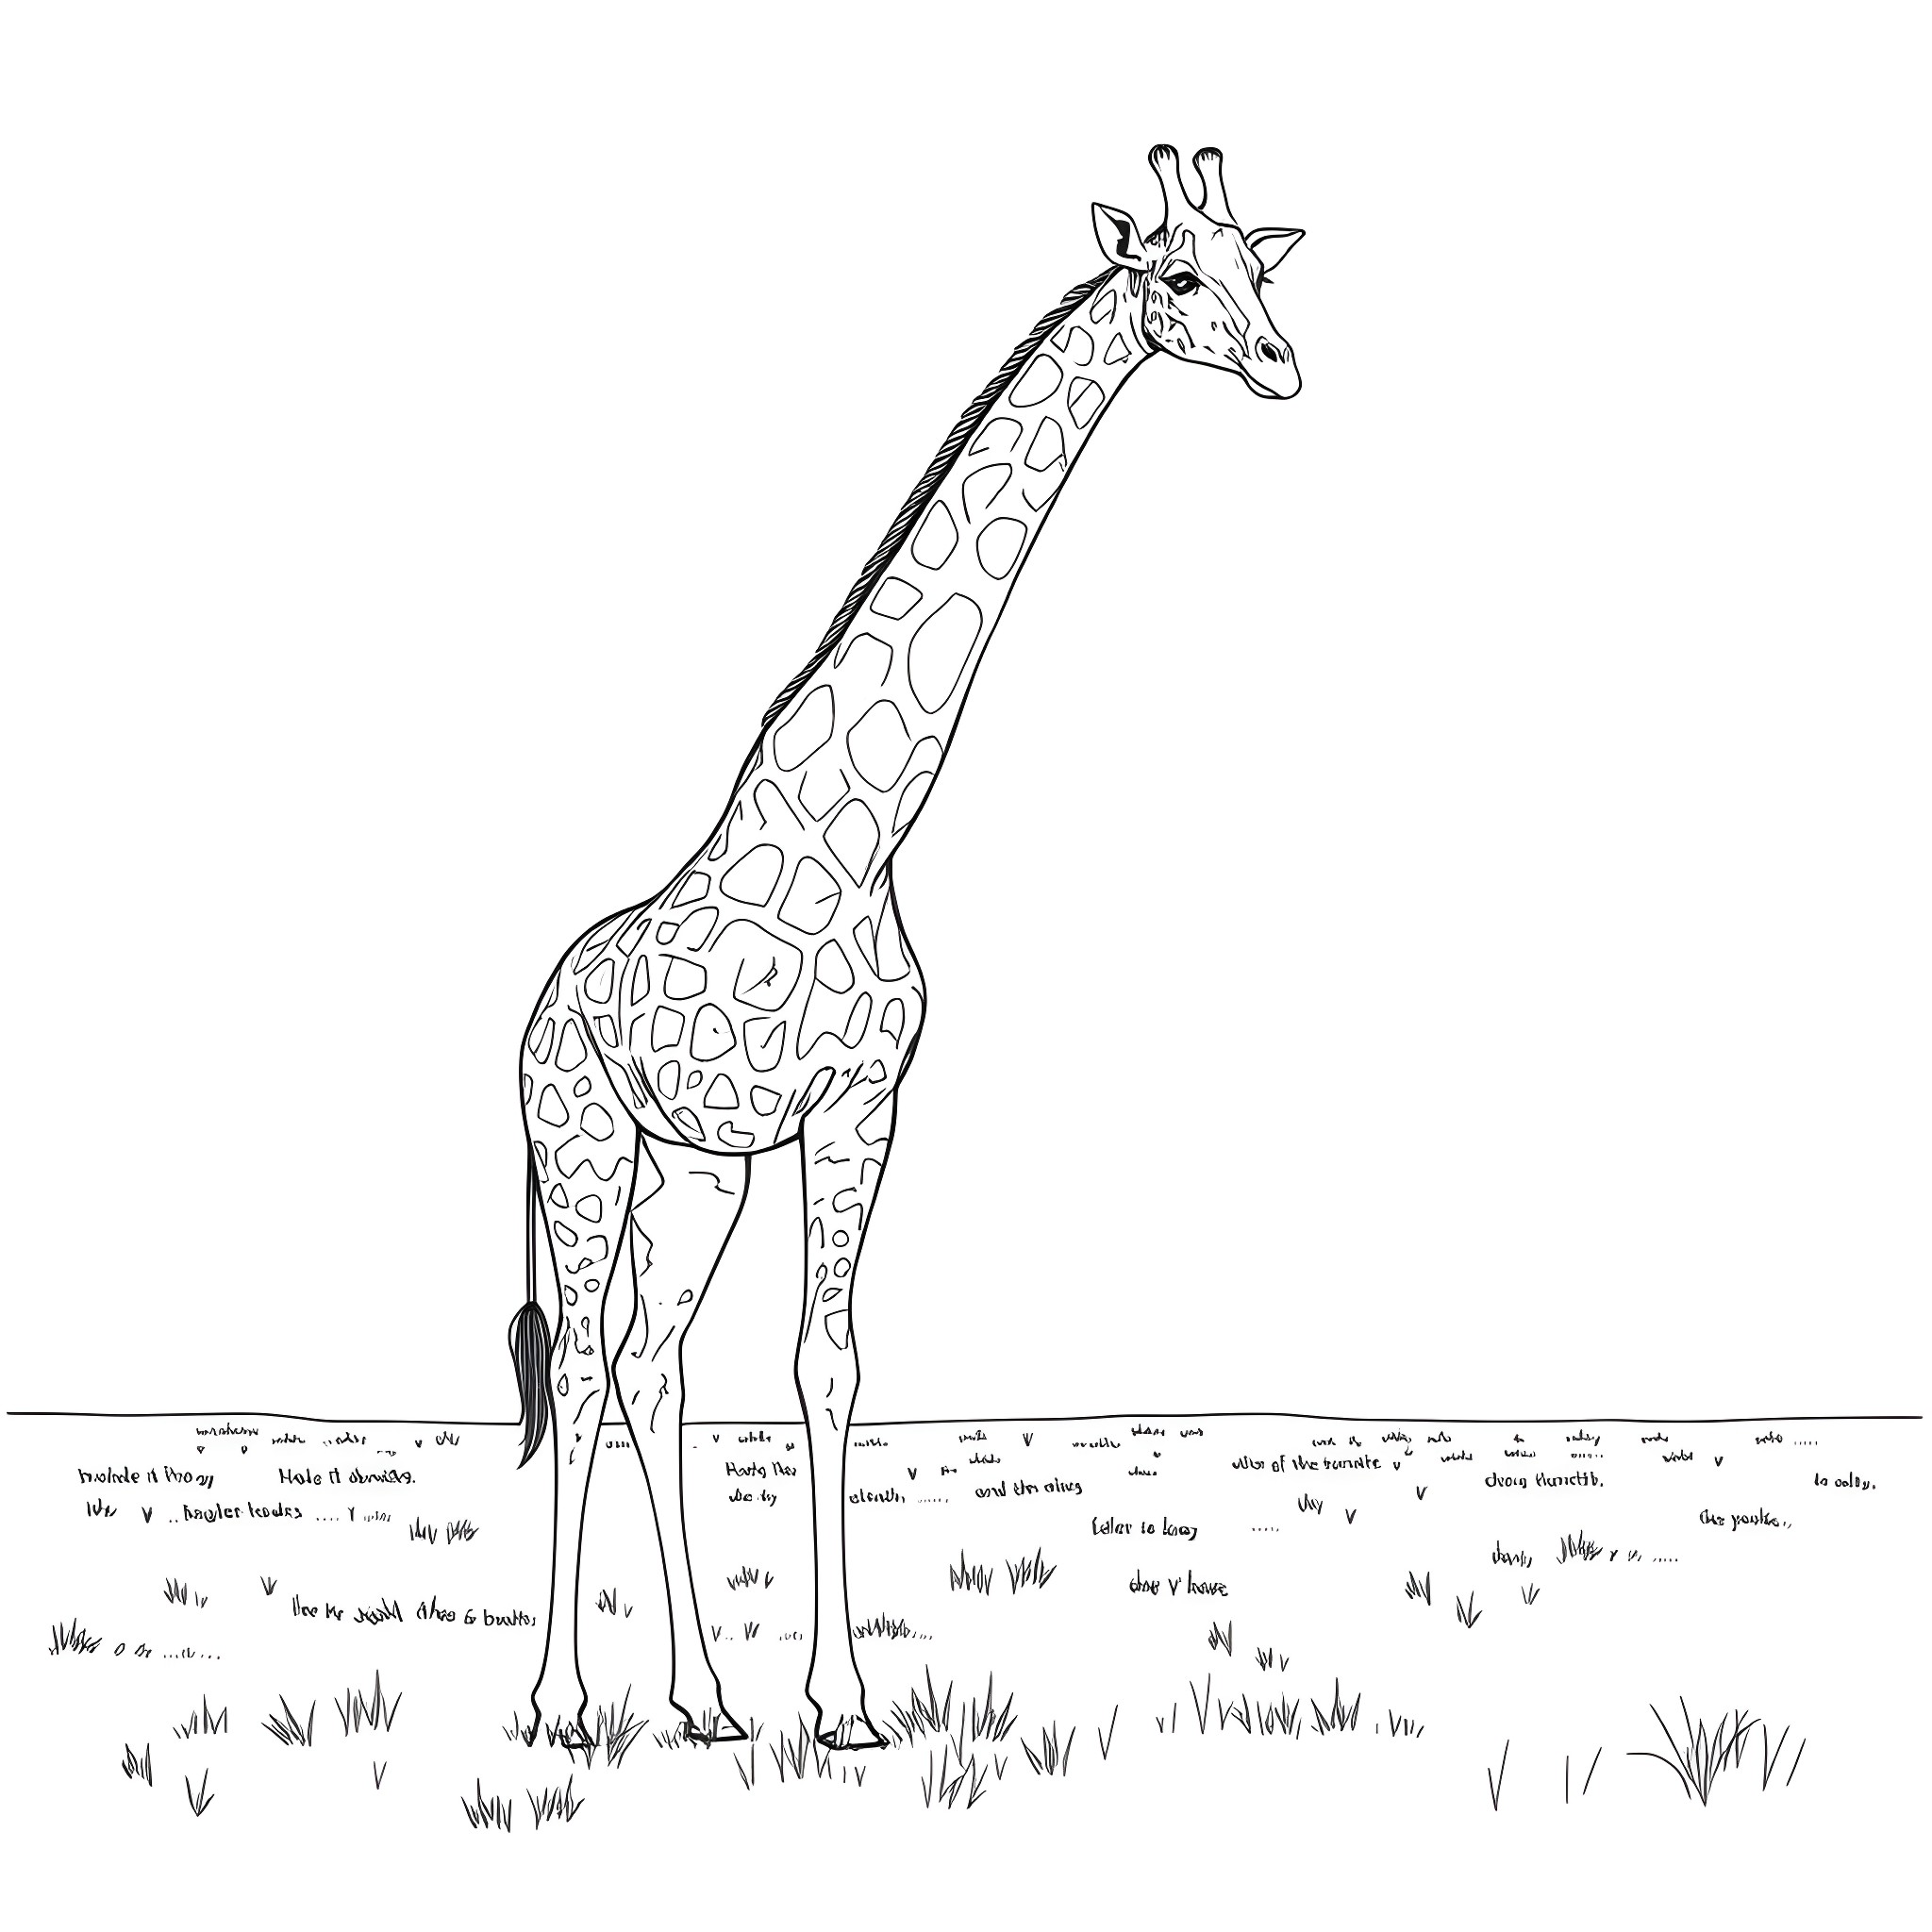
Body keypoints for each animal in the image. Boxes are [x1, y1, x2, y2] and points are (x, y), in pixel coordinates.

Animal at [509, 145, 1303, 1749]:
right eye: (1182, 274)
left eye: (1266, 268)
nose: (1281, 362)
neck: (862, 828)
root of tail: (529, 1018)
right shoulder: (838, 1112)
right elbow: (810, 1364)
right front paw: (840, 1700)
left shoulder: (863, 1104)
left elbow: (831, 1368)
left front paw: (823, 1702)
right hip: (586, 1152)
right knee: (581, 1361)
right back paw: (564, 1699)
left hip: (696, 1173)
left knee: (647, 1363)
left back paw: (701, 1702)